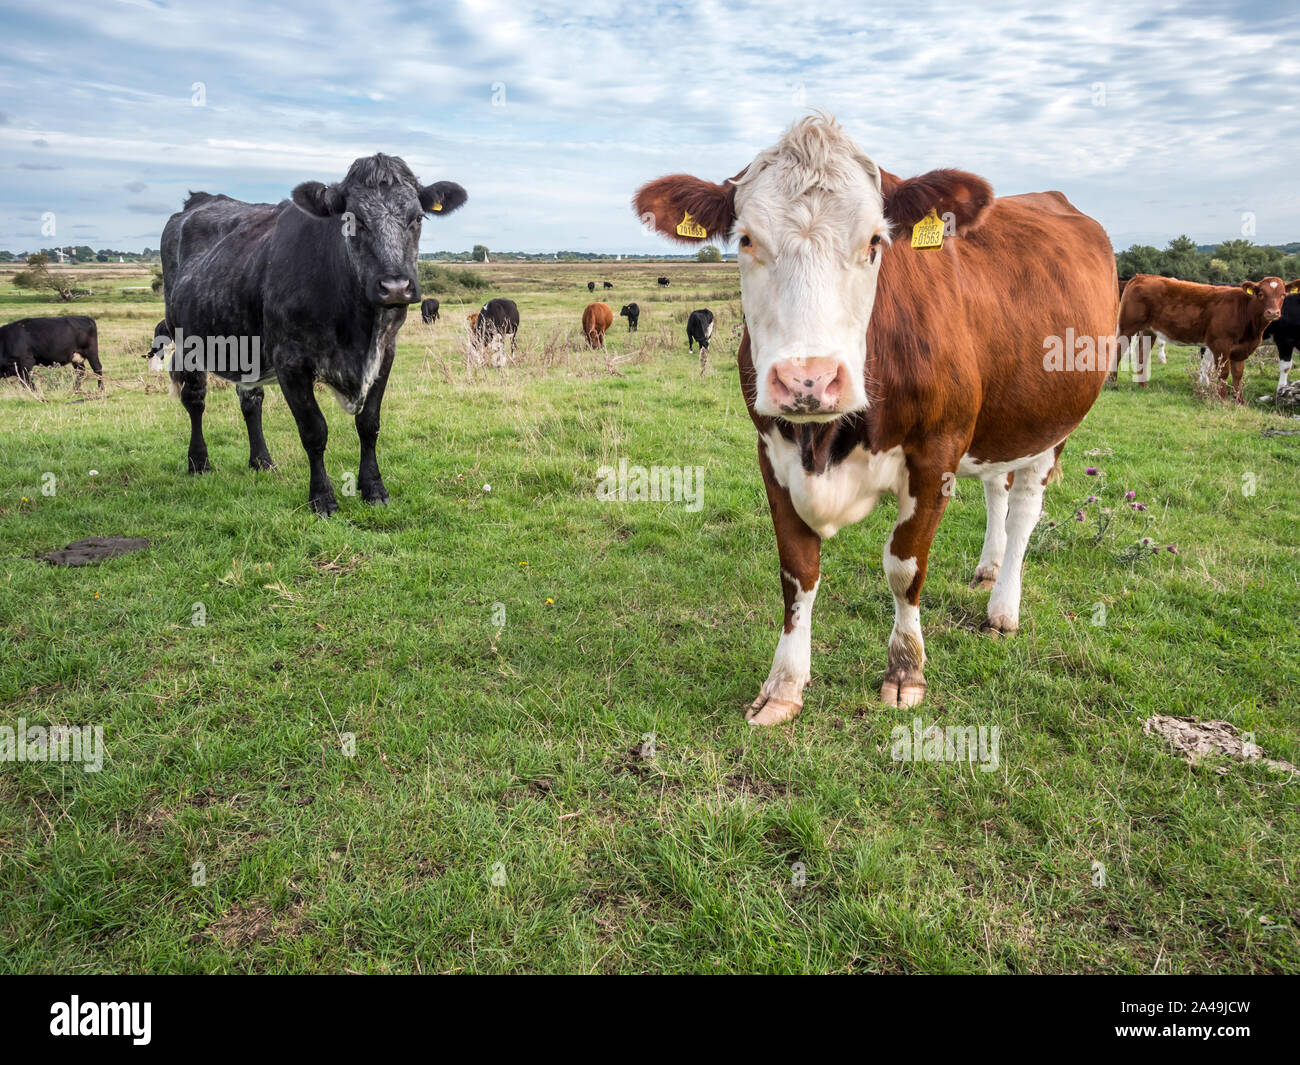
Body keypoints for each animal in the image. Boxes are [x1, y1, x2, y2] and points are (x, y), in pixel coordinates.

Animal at [161, 153, 467, 514]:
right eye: (352, 219)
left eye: (417, 217)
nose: (395, 287)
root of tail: (198, 200)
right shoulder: (290, 361)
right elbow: (313, 430)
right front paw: (322, 497)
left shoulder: (385, 353)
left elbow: (369, 424)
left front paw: (373, 488)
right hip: (186, 341)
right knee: (195, 399)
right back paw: (199, 462)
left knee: (251, 400)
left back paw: (261, 460)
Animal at [634, 113, 1115, 723]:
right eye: (745, 239)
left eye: (874, 241)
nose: (808, 381)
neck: (825, 444)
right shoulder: (772, 454)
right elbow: (798, 571)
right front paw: (784, 685)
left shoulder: (936, 454)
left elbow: (905, 568)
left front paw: (905, 671)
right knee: (997, 491)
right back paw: (987, 567)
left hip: (1052, 426)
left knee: (1026, 506)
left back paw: (1003, 607)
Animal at [1115, 275, 1293, 401]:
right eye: (1261, 294)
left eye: (1283, 295)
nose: (1273, 312)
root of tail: (1141, 277)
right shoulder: (1221, 344)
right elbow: (1223, 372)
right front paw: (1223, 399)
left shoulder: (1241, 349)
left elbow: (1238, 374)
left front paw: (1240, 401)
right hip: (1127, 326)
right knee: (1118, 350)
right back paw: (1113, 381)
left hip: (1148, 330)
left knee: (1142, 354)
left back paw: (1143, 384)